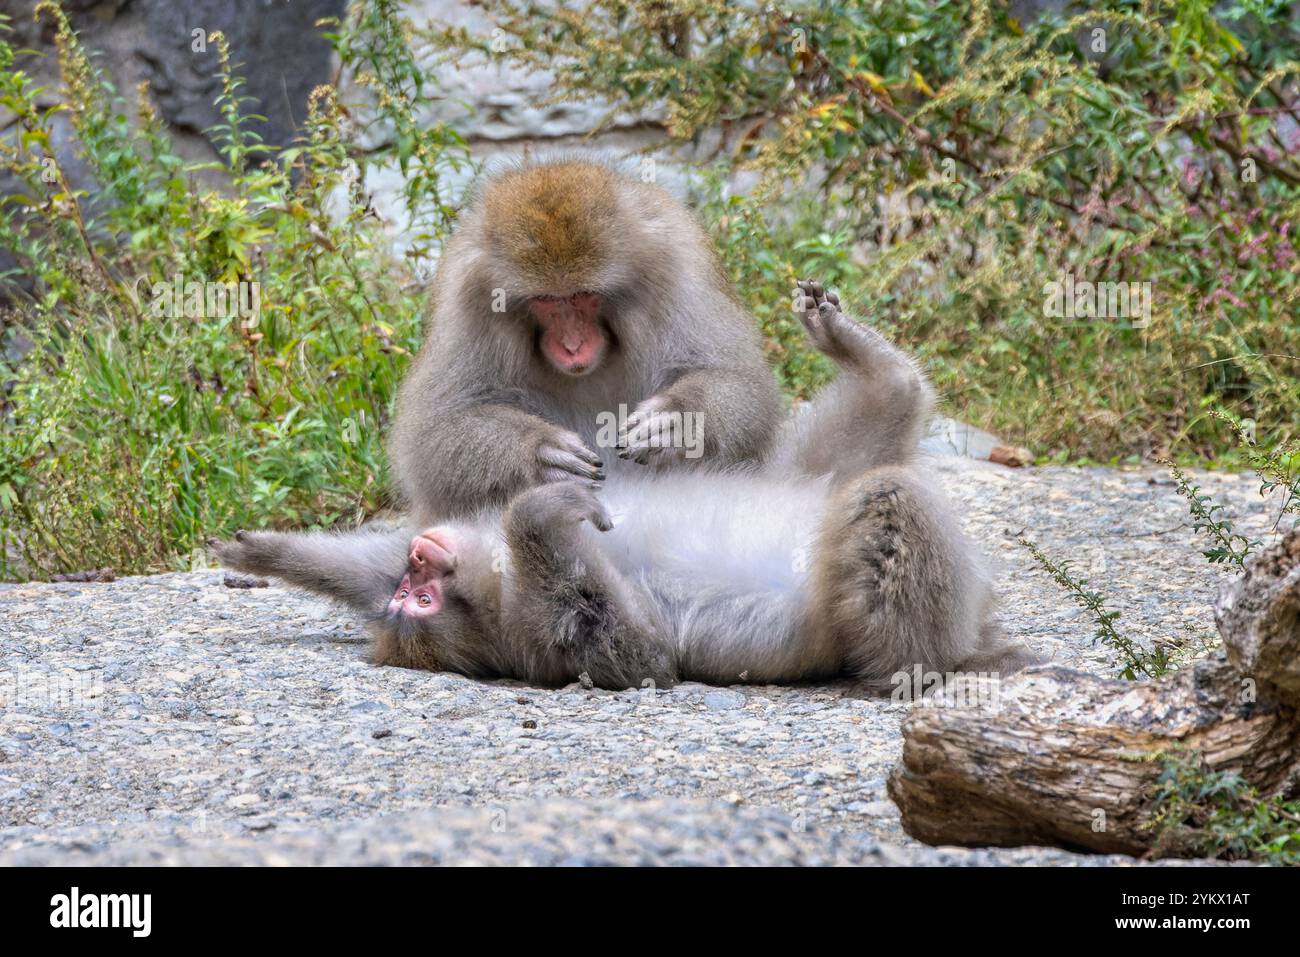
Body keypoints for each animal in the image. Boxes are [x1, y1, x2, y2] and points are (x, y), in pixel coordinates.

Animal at [215, 280, 1037, 694]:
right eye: (417, 601)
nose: (421, 558)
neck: (499, 577)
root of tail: (978, 627)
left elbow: (359, 566)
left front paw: (263, 551)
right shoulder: (538, 635)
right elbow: (641, 658)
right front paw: (537, 512)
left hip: (802, 476)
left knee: (857, 447)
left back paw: (860, 353)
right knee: (886, 499)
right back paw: (916, 668)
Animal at [388, 157, 783, 525]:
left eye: (583, 295)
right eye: (545, 300)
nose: (573, 346)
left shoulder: (678, 268)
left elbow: (741, 384)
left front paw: (675, 421)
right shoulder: (465, 300)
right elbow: (434, 435)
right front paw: (539, 451)